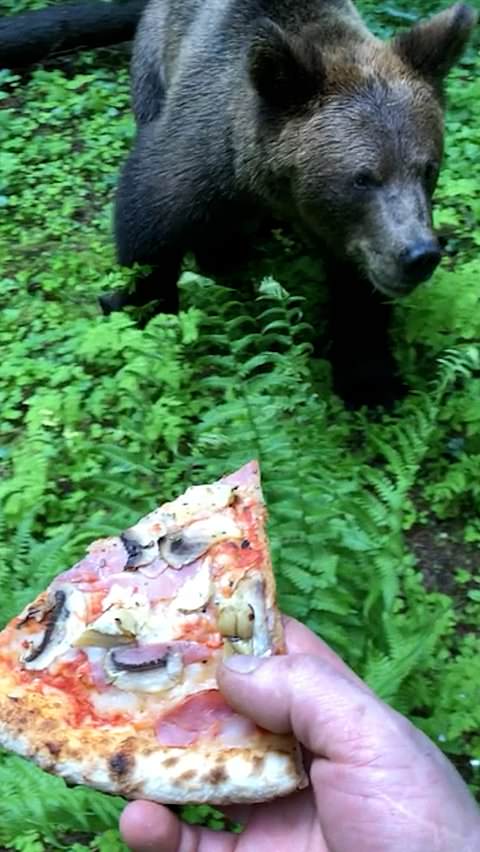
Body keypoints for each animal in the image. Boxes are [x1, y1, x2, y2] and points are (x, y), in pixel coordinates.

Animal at [105, 0, 477, 406]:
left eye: (427, 168)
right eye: (363, 177)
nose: (419, 255)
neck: (276, 188)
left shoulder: (355, 238)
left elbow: (359, 292)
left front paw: (370, 380)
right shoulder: (204, 155)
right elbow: (150, 225)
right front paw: (144, 316)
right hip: (152, 68)